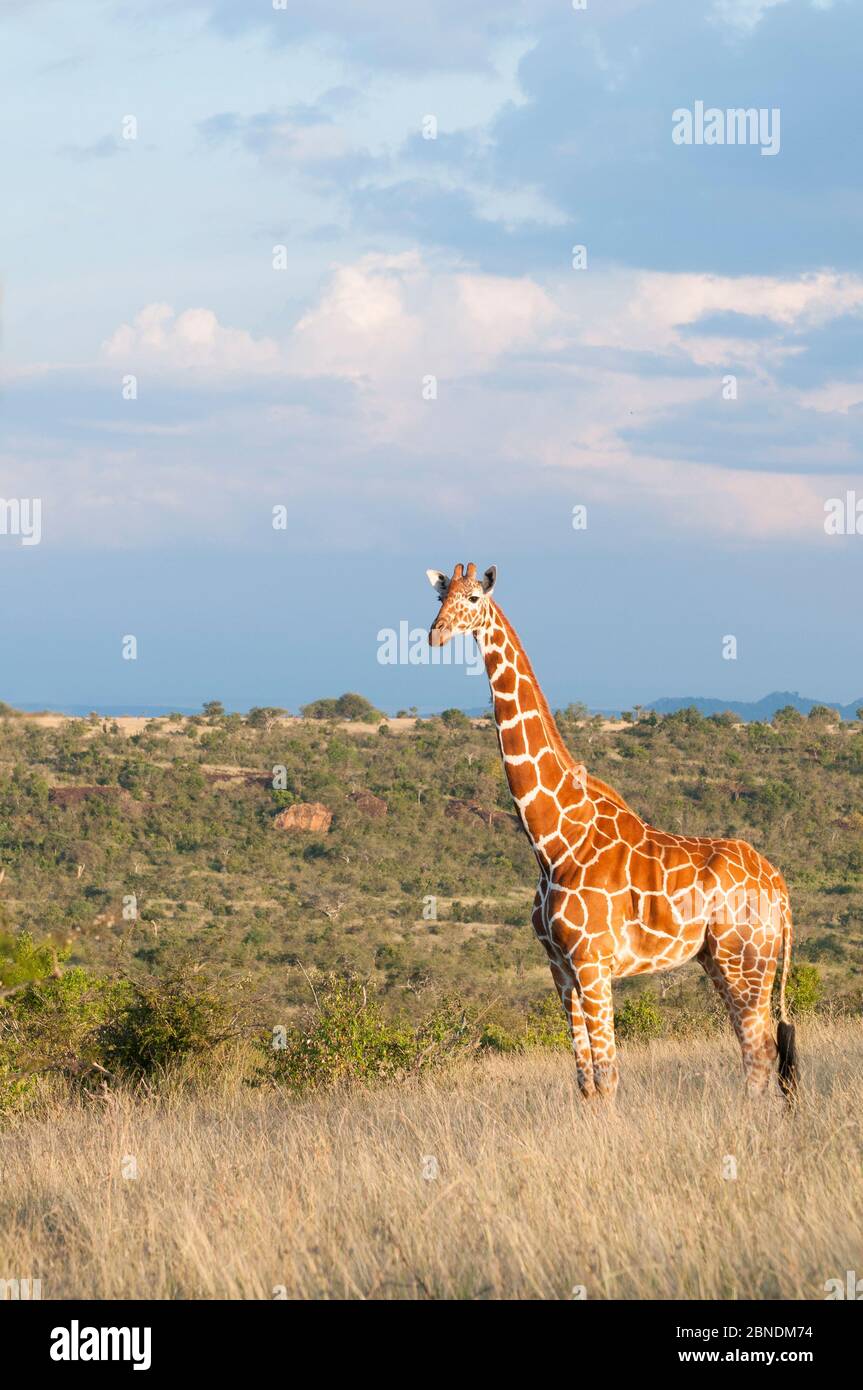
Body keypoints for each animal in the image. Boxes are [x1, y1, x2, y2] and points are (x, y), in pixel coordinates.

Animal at [426, 562, 798, 1102]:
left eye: (474, 598)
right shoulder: (559, 968)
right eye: (440, 596)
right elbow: (585, 1078)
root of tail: (780, 888)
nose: (435, 634)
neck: (553, 841)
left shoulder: (592, 963)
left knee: (760, 1052)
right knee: (759, 1048)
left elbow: (608, 1073)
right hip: (720, 960)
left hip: (745, 959)